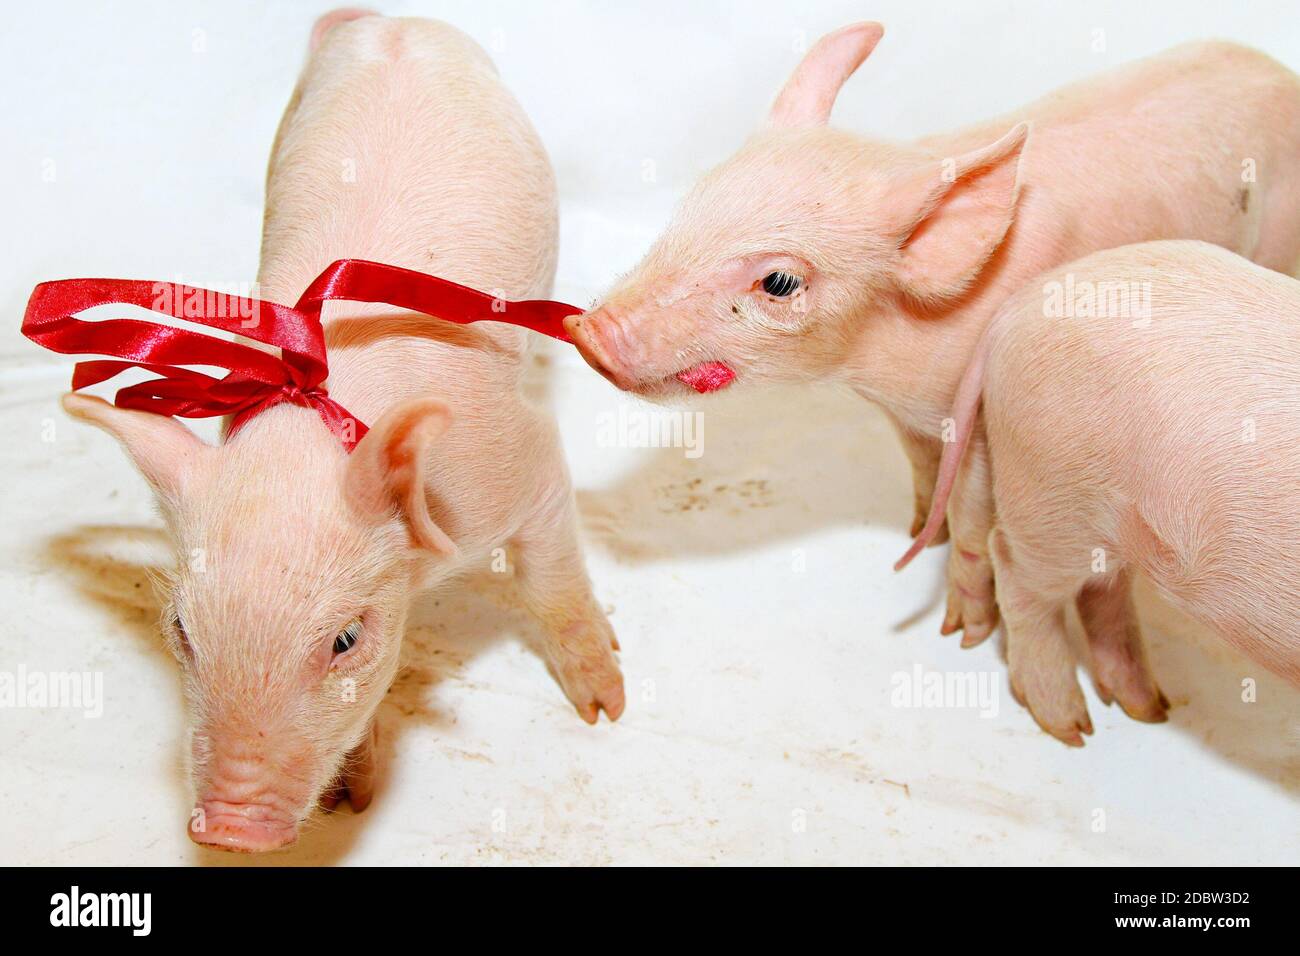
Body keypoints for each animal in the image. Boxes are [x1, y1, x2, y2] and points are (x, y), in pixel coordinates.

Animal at [62, 11, 624, 852]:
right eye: (181, 629)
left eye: (346, 639)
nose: (230, 832)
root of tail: (386, 20)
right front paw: (351, 800)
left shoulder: (518, 461)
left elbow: (552, 572)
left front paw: (605, 705)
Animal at [906, 239, 1300, 743]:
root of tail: (1011, 311)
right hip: (1051, 489)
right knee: (1016, 570)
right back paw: (1072, 729)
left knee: (1102, 590)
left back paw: (1150, 708)